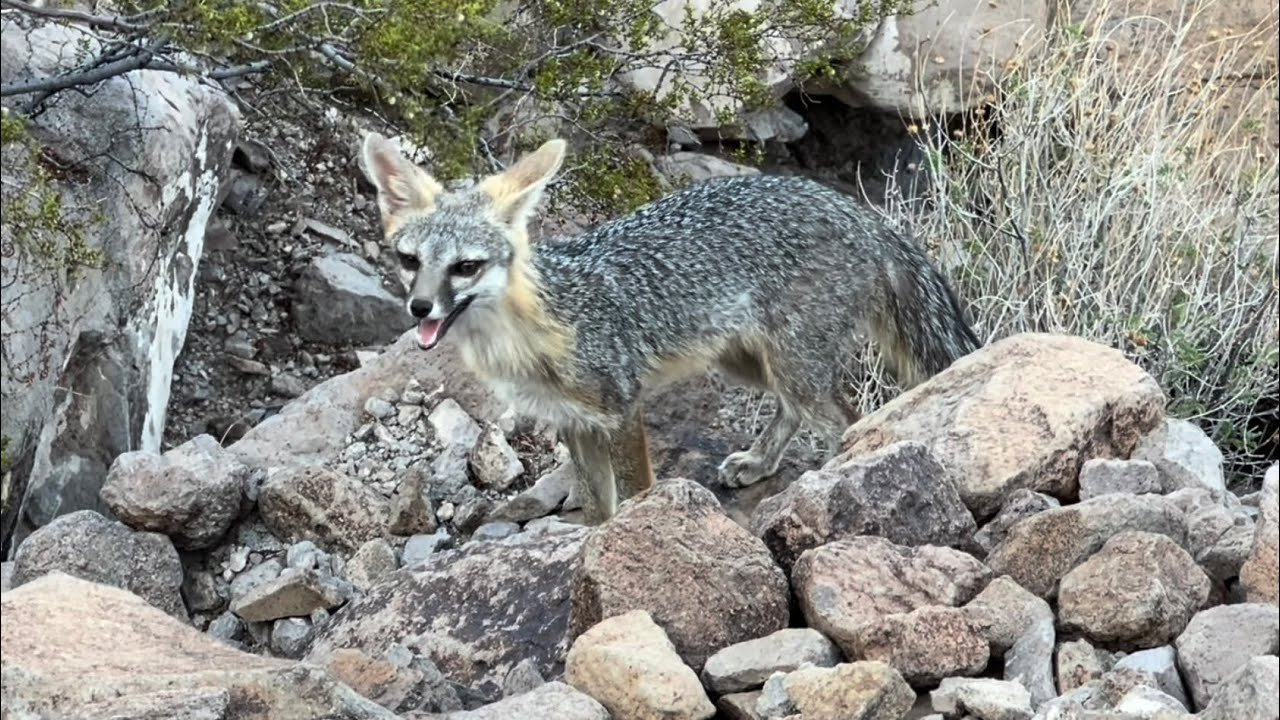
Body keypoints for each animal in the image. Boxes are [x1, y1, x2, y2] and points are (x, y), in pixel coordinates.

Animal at [358, 132, 982, 525]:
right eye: (410, 260)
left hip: (793, 367)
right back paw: (759, 463)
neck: (532, 334)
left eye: (466, 267)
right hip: (749, 364)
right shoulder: (573, 424)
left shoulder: (620, 411)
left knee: (844, 420)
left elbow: (634, 494)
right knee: (795, 410)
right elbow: (595, 508)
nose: (420, 308)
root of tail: (859, 212)